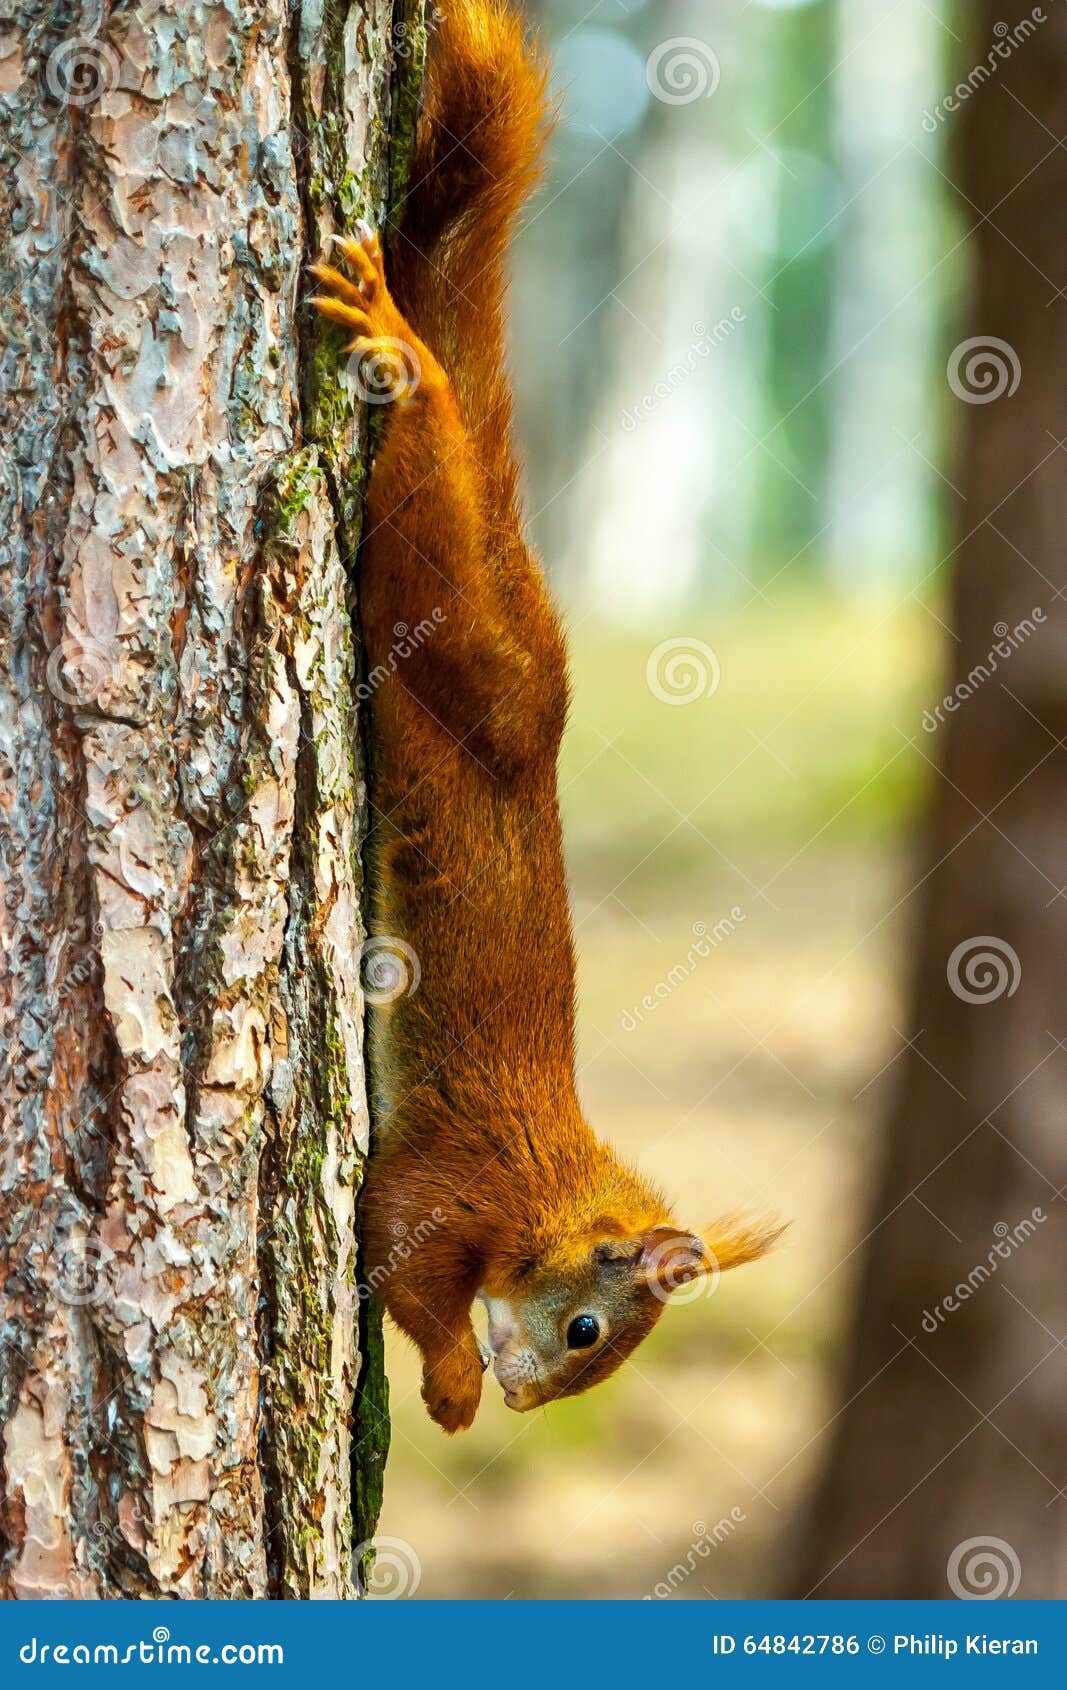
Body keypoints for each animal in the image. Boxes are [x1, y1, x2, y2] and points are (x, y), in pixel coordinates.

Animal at [310, 0, 782, 1433]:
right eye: (584, 1329)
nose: (527, 1402)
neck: (554, 1189)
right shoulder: (456, 1180)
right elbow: (399, 1253)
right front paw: (454, 1384)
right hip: (465, 640)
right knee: (429, 466)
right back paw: (399, 346)